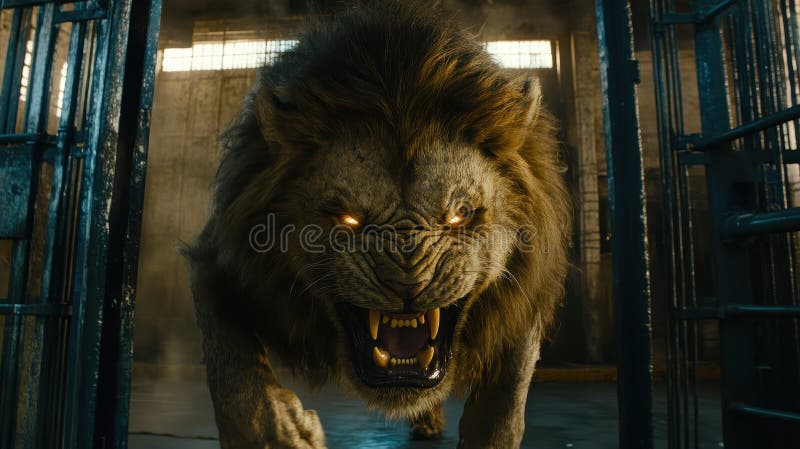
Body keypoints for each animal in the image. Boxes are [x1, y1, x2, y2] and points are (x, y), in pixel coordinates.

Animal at [183, 2, 571, 448]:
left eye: (459, 215)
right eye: (347, 218)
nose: (408, 286)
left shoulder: (530, 285)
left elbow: (504, 404)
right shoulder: (220, 261)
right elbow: (233, 373)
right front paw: (284, 433)